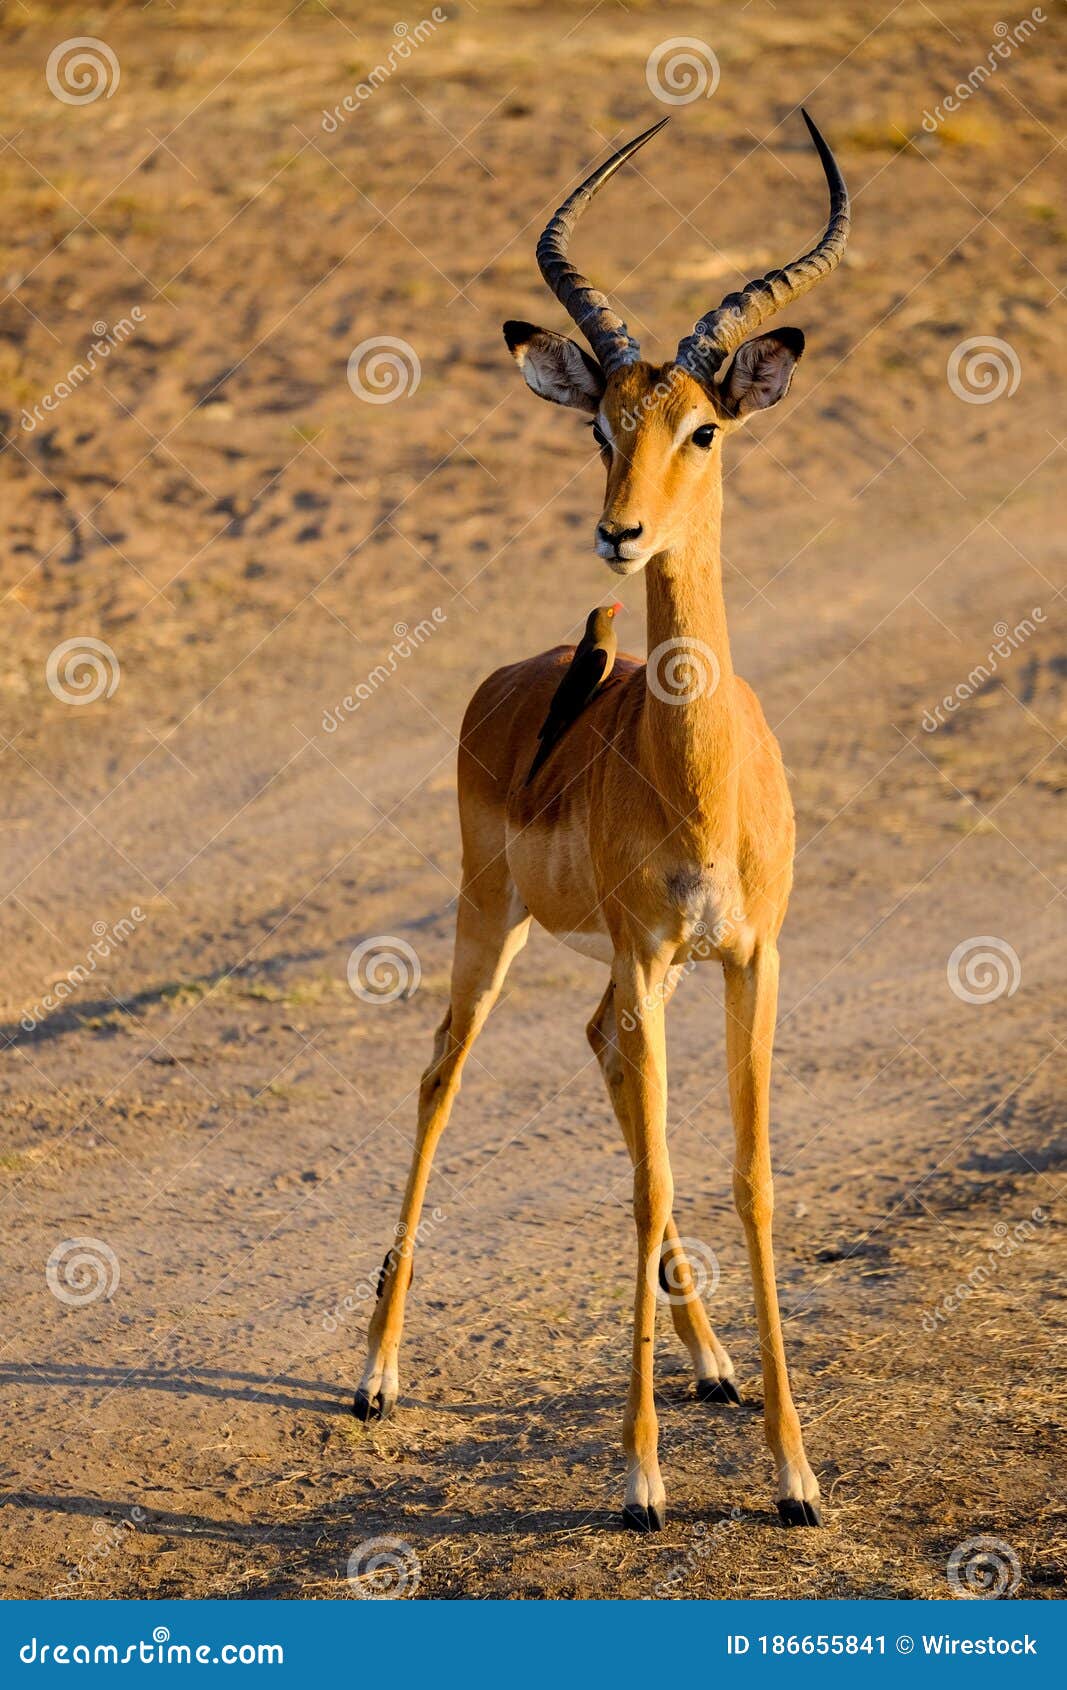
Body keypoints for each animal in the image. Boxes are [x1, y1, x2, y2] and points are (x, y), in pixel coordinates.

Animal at [354, 110, 850, 1531]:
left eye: (702, 429)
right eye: (602, 426)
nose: (618, 534)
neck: (701, 777)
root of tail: (518, 671)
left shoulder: (747, 956)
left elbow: (743, 1175)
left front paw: (794, 1474)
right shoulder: (646, 948)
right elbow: (647, 1182)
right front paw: (637, 1480)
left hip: (624, 967)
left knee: (596, 1056)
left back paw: (716, 1365)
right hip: (492, 921)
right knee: (439, 1075)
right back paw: (376, 1377)